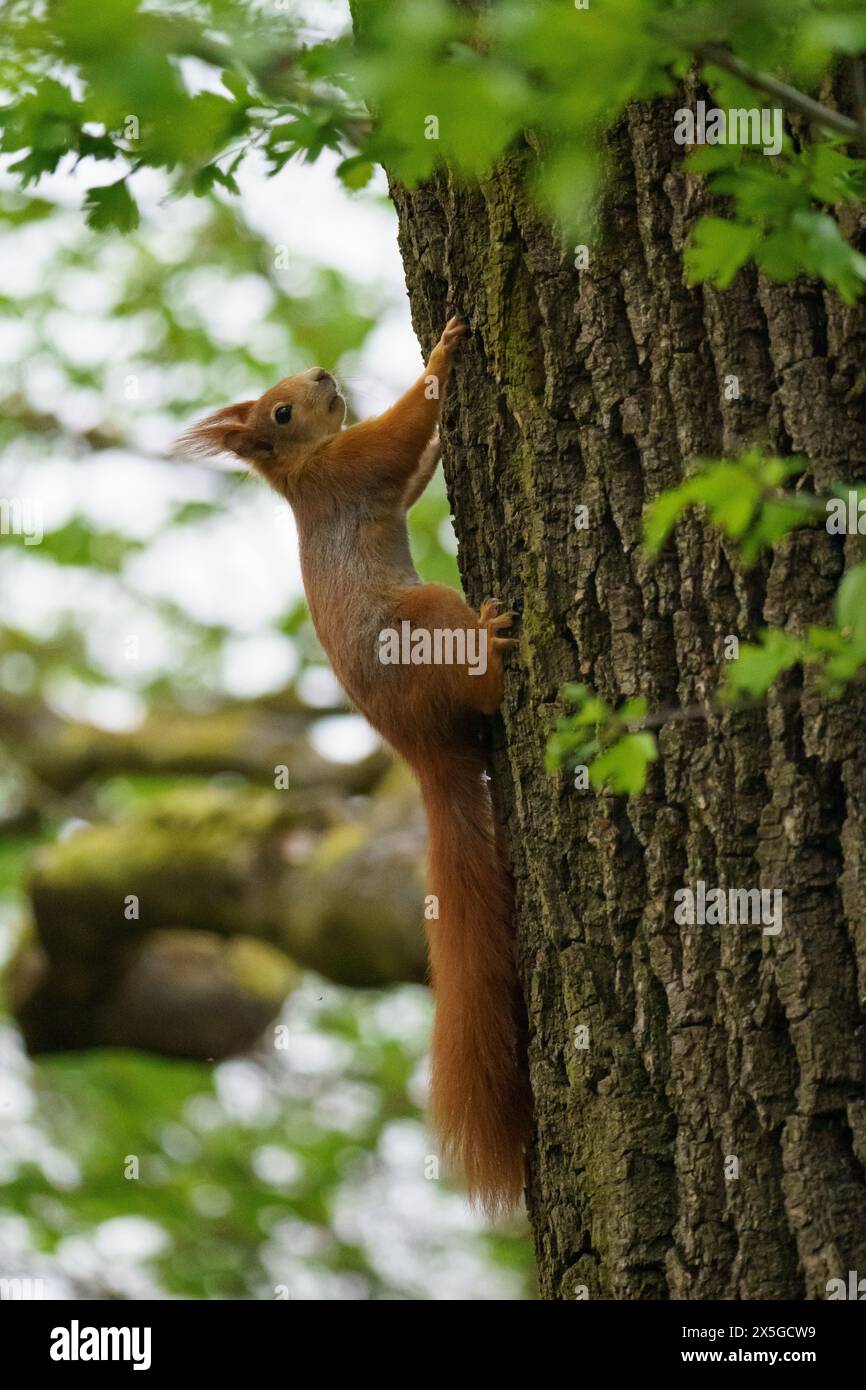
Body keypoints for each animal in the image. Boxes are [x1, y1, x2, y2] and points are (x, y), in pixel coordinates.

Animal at [179, 316, 532, 1214]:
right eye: (278, 412)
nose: (322, 375)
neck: (300, 470)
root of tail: (422, 752)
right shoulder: (349, 465)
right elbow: (397, 435)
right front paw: (441, 357)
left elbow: (414, 471)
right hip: (428, 618)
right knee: (474, 677)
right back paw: (493, 645)